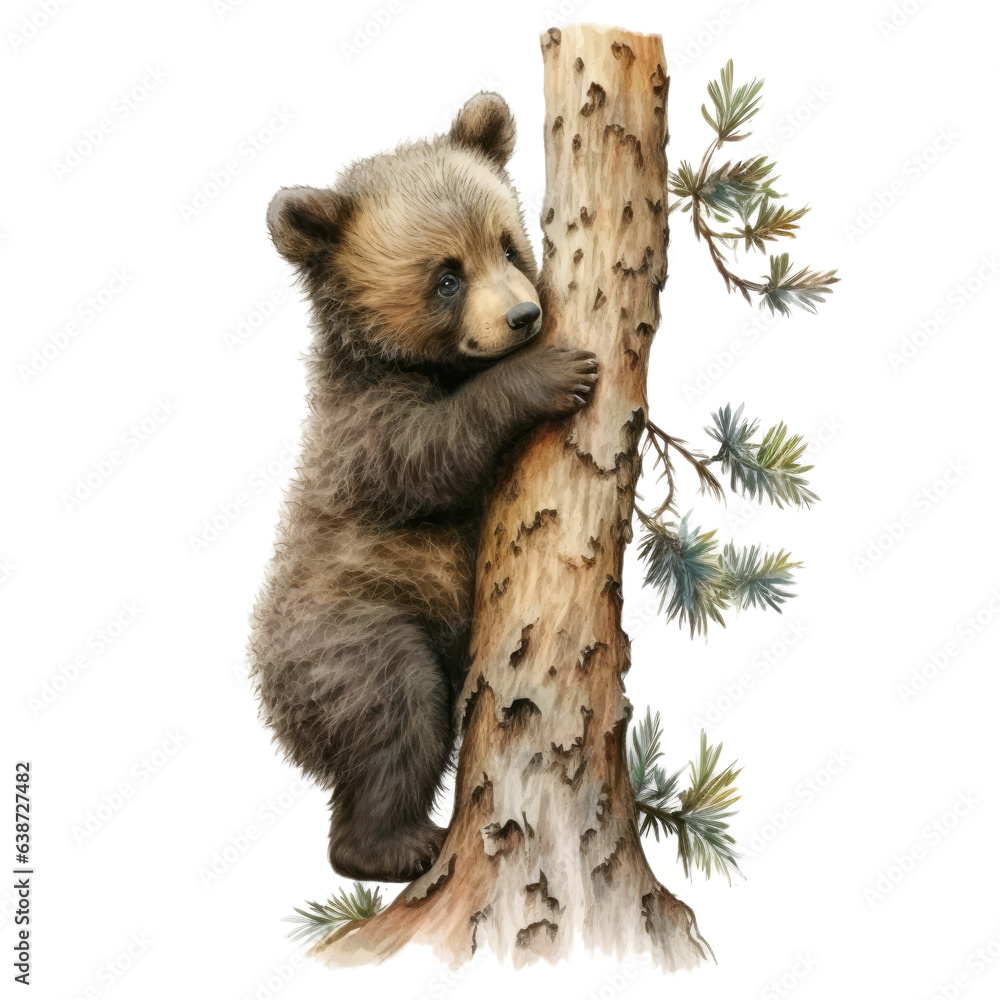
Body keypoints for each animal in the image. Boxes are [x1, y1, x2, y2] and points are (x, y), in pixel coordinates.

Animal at [249, 92, 599, 882]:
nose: (524, 317)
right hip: (346, 630)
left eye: (508, 245)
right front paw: (548, 375)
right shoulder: (363, 431)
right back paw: (395, 845)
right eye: (446, 277)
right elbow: (430, 453)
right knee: (397, 710)